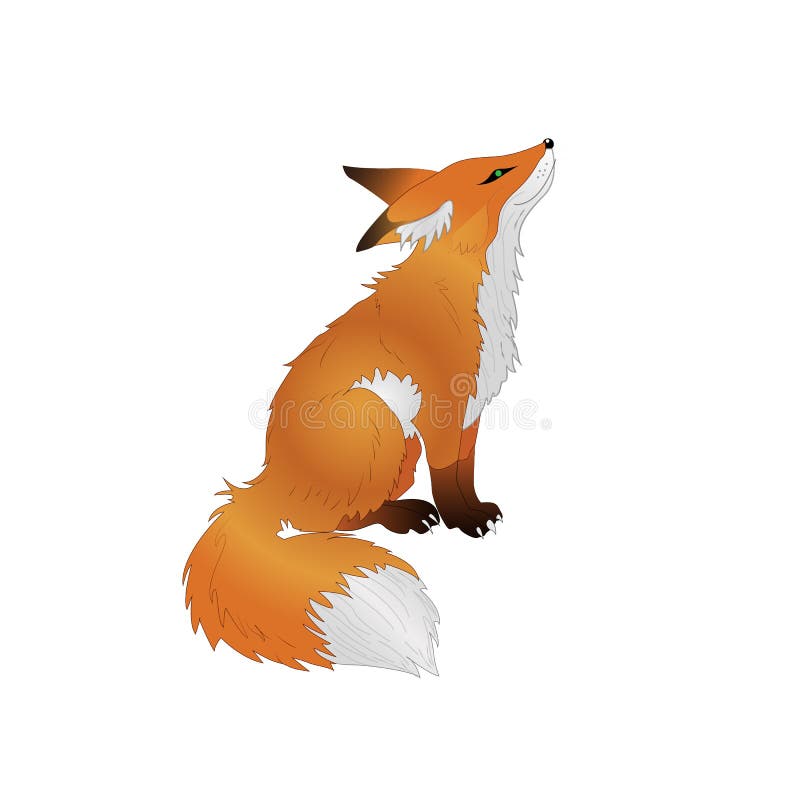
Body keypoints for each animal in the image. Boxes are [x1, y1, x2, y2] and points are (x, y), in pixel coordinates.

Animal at [183, 138, 556, 675]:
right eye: (497, 173)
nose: (548, 140)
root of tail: (265, 480)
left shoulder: (471, 415)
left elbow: (464, 473)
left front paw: (476, 511)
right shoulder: (442, 413)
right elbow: (447, 482)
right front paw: (462, 523)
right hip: (377, 418)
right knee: (327, 523)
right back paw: (404, 518)